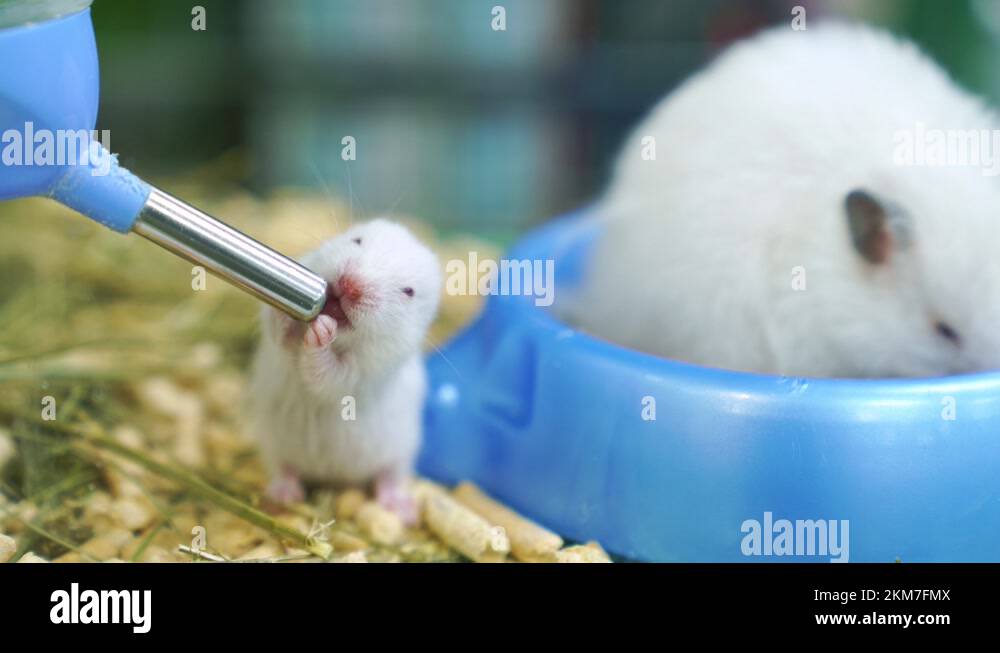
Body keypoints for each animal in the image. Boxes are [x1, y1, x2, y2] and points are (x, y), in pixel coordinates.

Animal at [247, 218, 442, 523]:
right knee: (282, 468)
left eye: (408, 291)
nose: (350, 285)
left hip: (401, 451)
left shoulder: (362, 372)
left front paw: (321, 332)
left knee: (389, 477)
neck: (344, 340)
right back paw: (283, 495)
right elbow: (280, 332)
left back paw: (402, 510)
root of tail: (333, 479)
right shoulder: (281, 346)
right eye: (357, 240)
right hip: (272, 442)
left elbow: (329, 374)